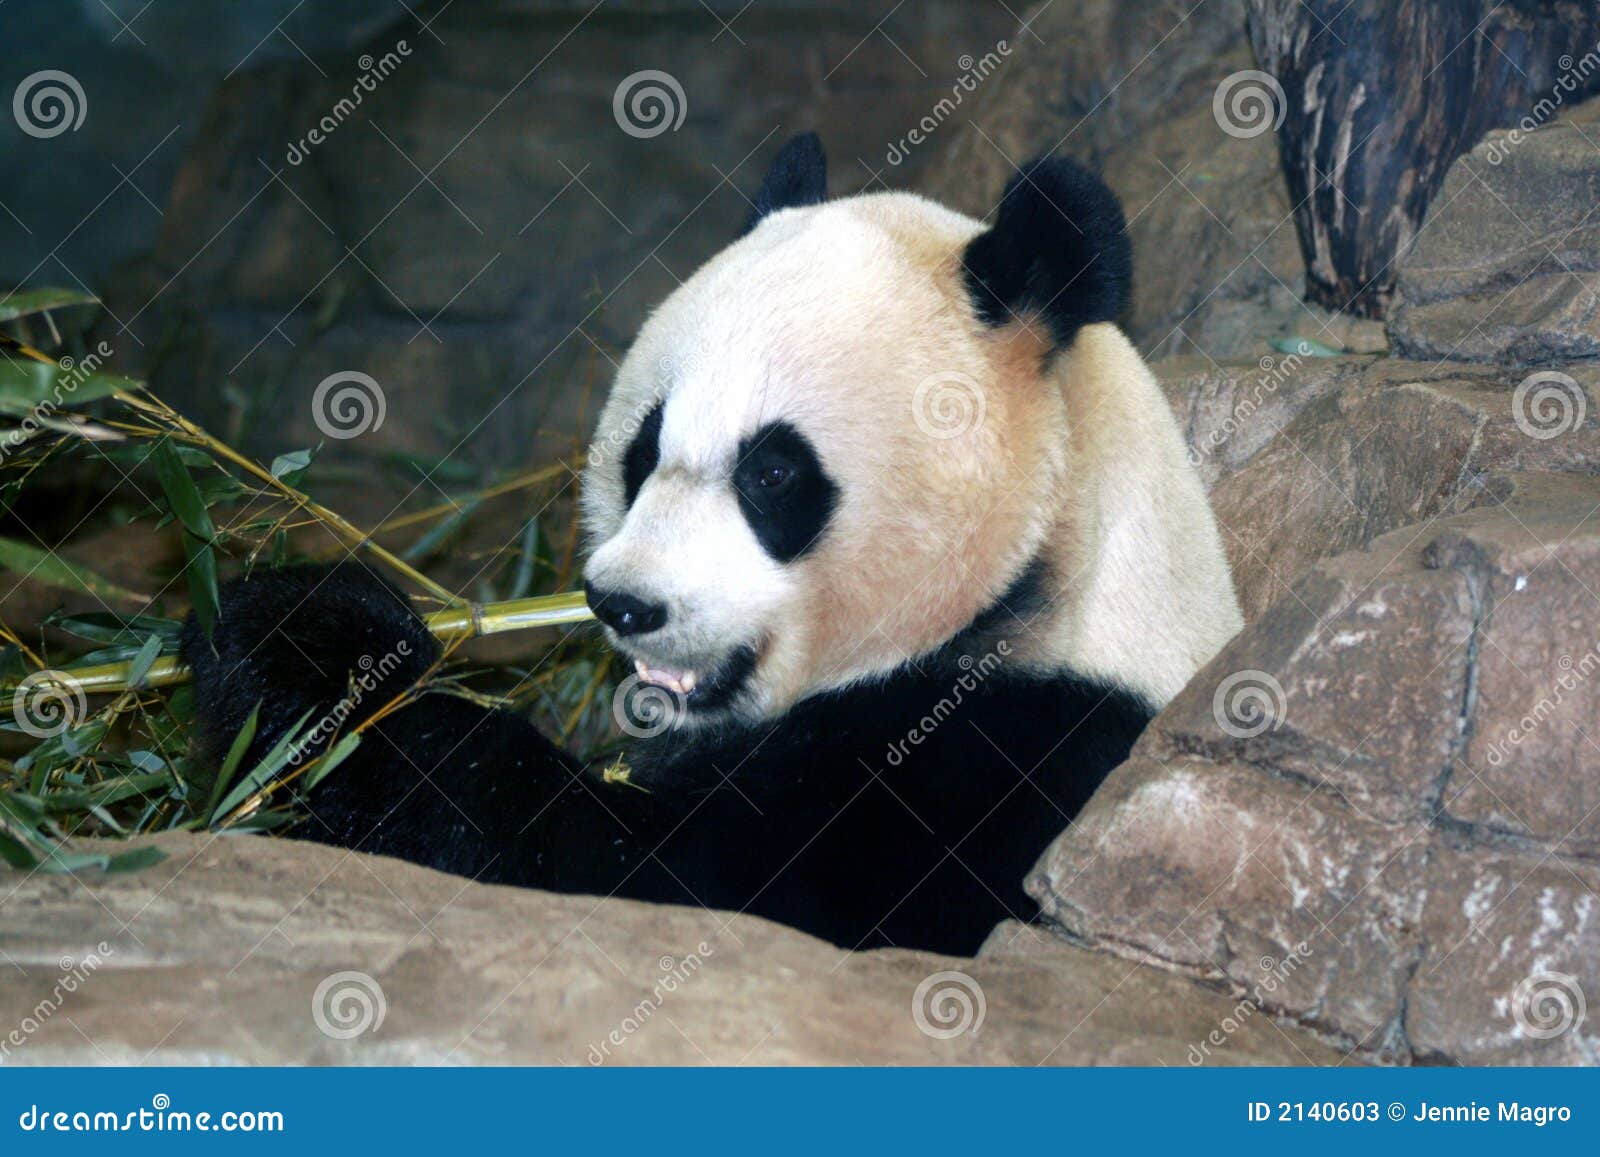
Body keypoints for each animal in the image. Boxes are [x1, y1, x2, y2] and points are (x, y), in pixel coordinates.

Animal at [183, 134, 1242, 955]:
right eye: (643, 450)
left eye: (772, 473)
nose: (624, 604)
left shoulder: (1006, 761)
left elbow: (664, 879)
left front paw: (306, 642)